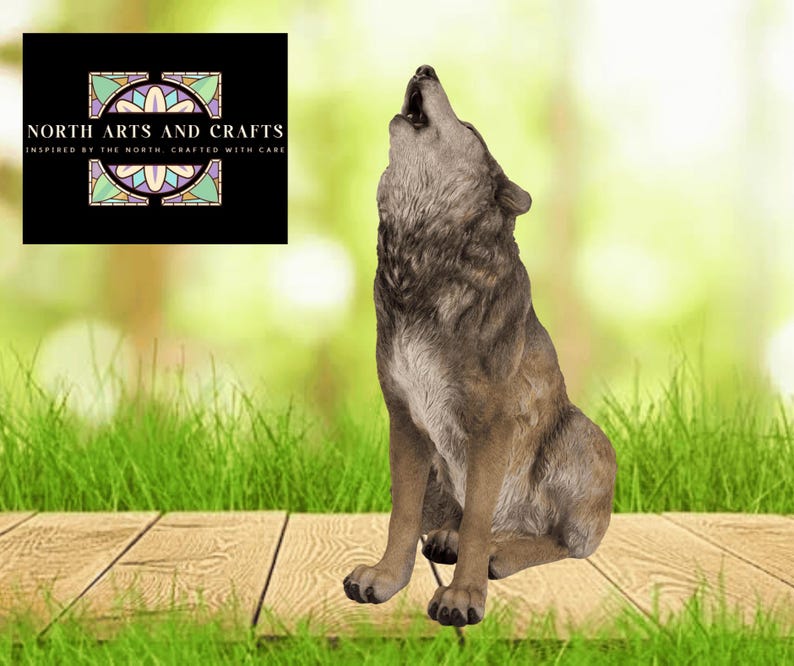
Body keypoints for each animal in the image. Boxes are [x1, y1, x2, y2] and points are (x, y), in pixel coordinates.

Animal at [343, 65, 617, 627]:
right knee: (460, 518)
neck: (423, 260)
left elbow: (478, 526)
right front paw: (386, 578)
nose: (425, 68)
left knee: (565, 539)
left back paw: (502, 551)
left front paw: (463, 596)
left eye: (468, 128)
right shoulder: (405, 420)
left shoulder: (493, 425)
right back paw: (450, 537)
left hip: (582, 435)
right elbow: (402, 515)